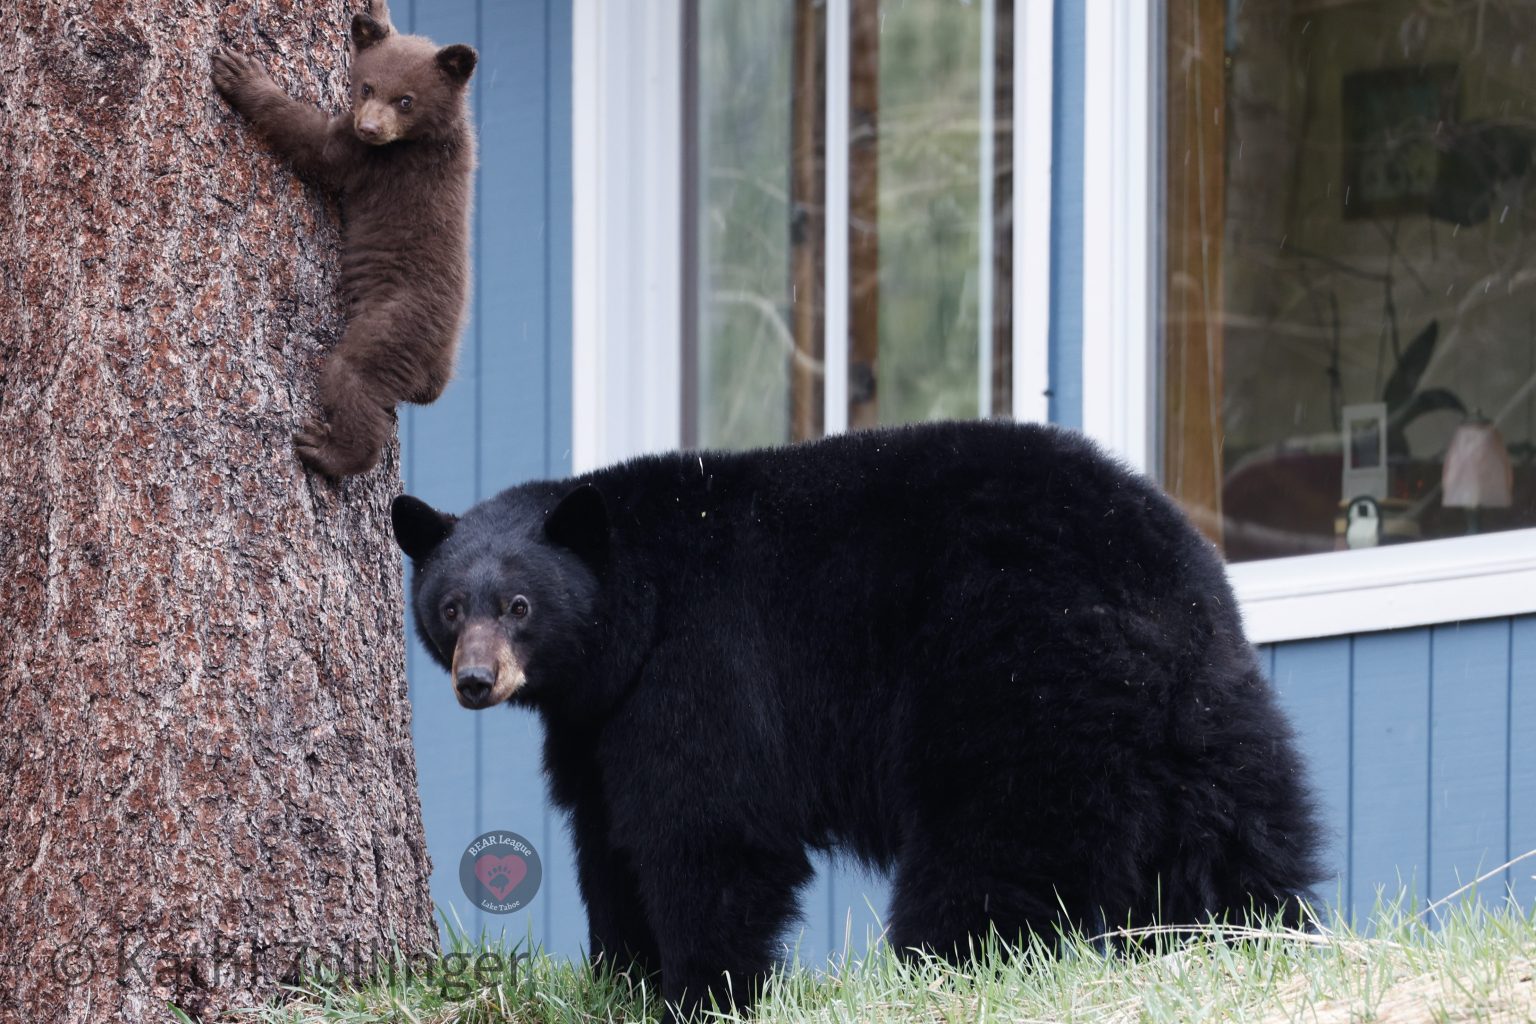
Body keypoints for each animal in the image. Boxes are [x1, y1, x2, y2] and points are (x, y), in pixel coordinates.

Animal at [210, 3, 476, 478]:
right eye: (367, 86)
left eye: (406, 100)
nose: (369, 126)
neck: (433, 135)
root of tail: (434, 375)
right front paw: (374, 14)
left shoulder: (373, 159)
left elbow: (313, 142)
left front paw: (241, 74)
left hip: (393, 329)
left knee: (351, 379)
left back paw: (326, 449)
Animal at [391, 419, 1324, 1019]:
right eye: (449, 607)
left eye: (519, 606)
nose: (476, 679)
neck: (634, 614)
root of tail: (1152, 587)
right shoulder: (597, 721)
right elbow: (608, 835)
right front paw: (624, 976)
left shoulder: (698, 663)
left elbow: (708, 825)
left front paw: (702, 991)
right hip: (1212, 708)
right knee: (1242, 835)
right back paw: (1263, 938)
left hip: (1012, 674)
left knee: (994, 845)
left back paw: (944, 967)